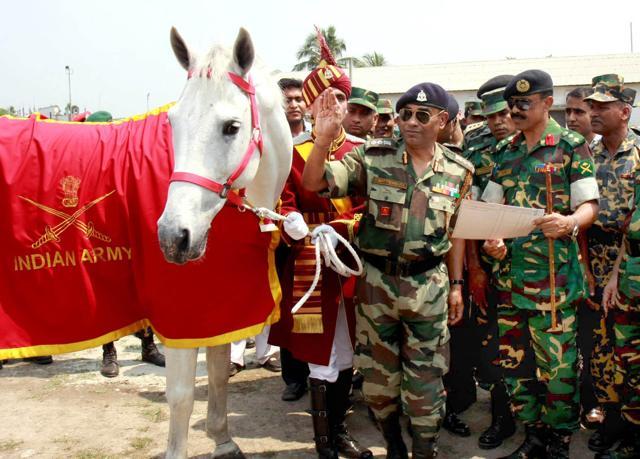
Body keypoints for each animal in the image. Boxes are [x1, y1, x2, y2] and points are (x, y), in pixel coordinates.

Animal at [157, 27, 292, 459]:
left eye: (231, 126)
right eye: (172, 122)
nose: (172, 236)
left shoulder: (217, 310)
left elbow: (217, 375)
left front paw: (223, 440)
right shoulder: (179, 316)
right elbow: (181, 396)